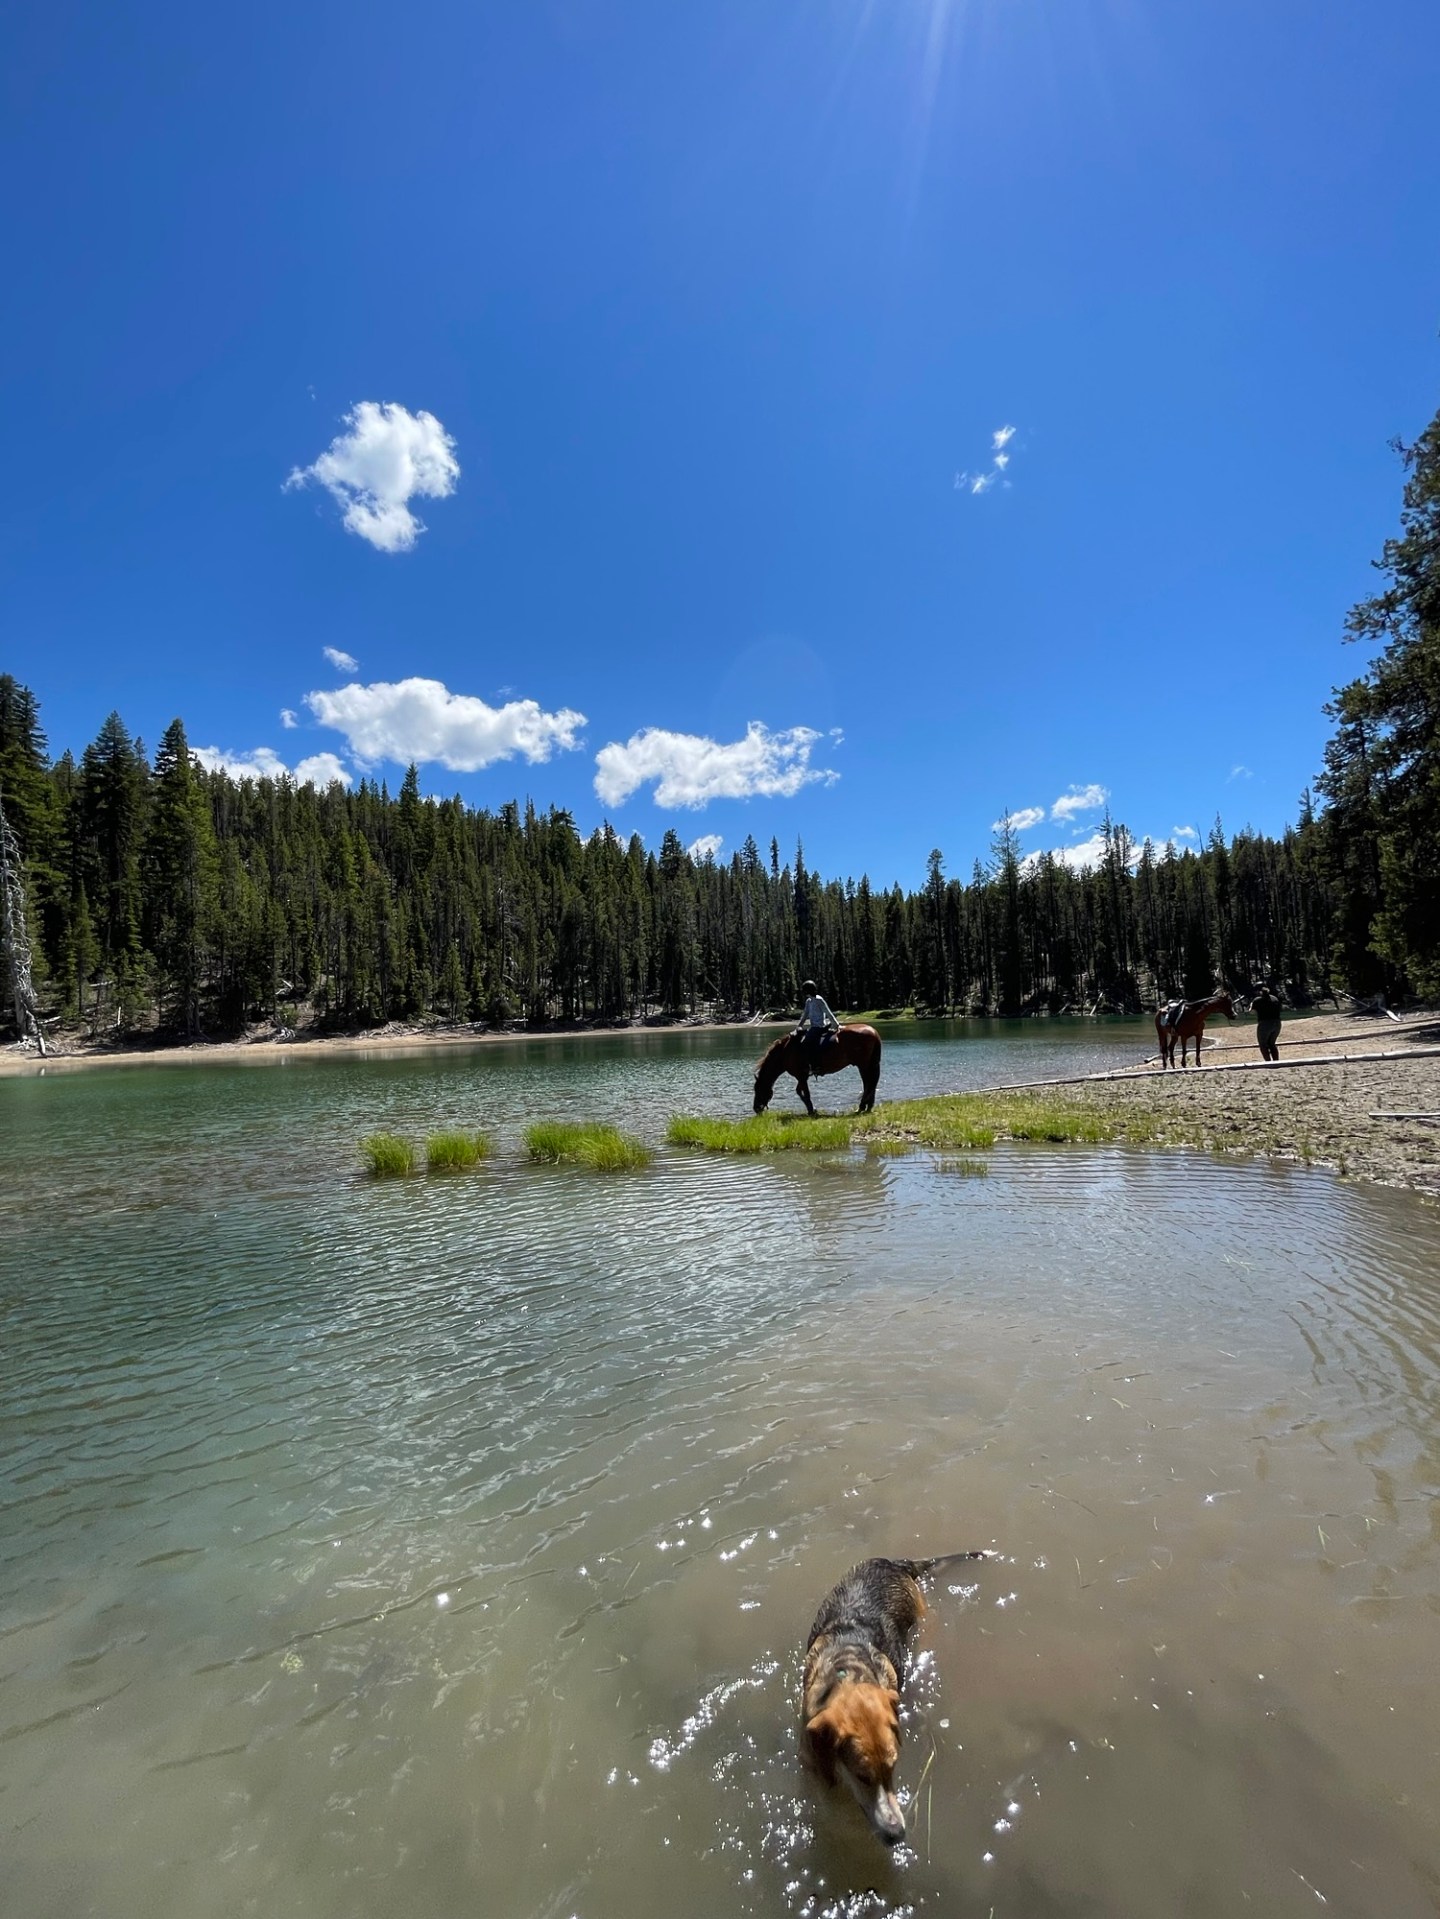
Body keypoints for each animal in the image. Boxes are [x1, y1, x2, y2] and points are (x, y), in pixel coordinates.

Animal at [754, 1024, 883, 1116]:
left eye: (757, 1089)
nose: (756, 1108)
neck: (786, 1052)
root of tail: (874, 1032)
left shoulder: (801, 1076)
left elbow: (805, 1093)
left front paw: (811, 1111)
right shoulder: (802, 1076)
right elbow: (800, 1092)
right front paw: (812, 1109)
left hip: (863, 1065)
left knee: (869, 1083)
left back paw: (862, 1107)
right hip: (867, 1065)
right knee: (870, 1083)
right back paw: (867, 1107)